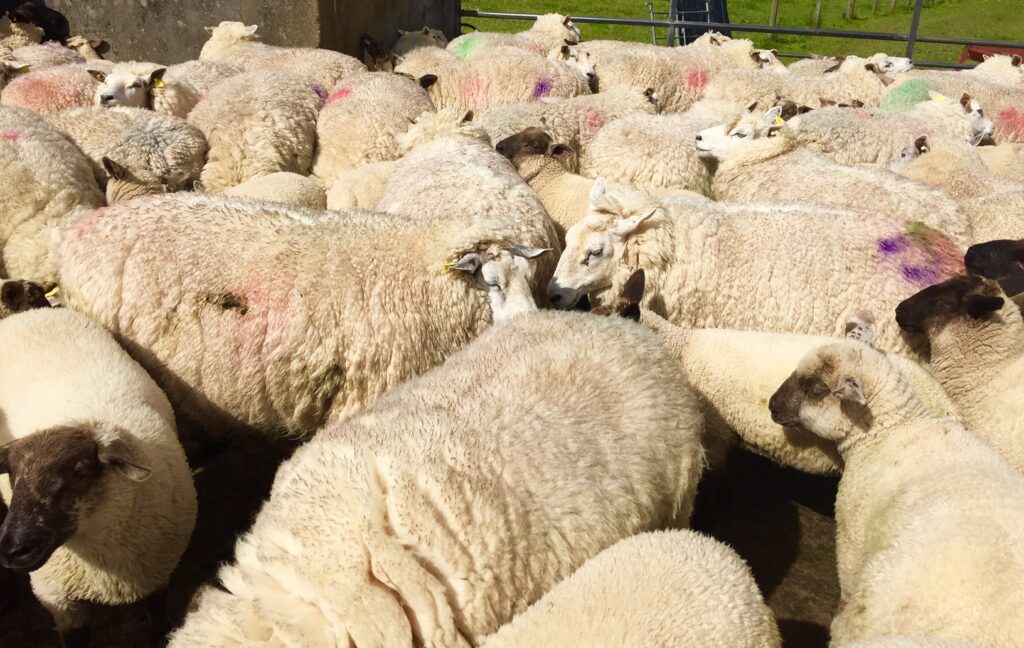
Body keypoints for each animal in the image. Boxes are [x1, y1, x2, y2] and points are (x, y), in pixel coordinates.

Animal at [0, 307, 197, 646]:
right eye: (12, 475)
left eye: (80, 470)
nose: (14, 550)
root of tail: (26, 313)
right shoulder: (61, 602)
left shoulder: (156, 577)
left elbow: (158, 624)